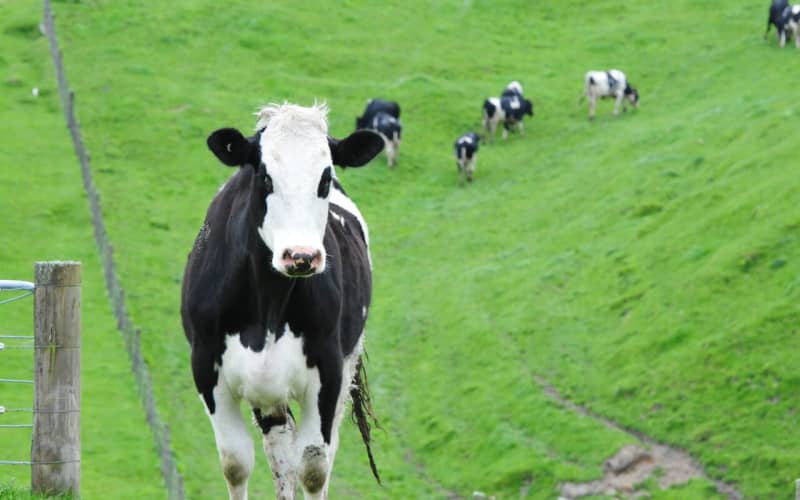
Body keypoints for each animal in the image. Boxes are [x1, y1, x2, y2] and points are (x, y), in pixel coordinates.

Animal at [181, 102, 385, 500]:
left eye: (325, 178)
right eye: (265, 177)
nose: (301, 256)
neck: (268, 306)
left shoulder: (329, 371)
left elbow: (314, 467)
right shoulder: (206, 367)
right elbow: (236, 463)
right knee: (280, 453)